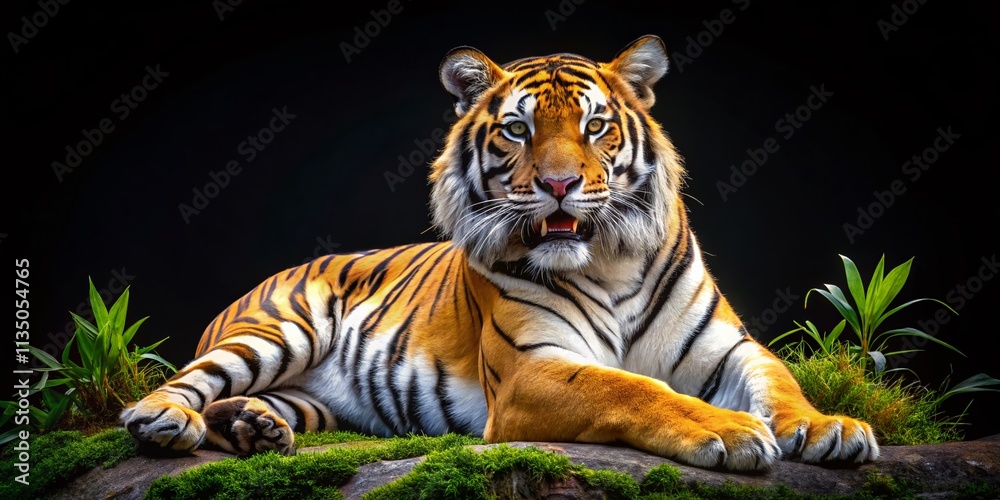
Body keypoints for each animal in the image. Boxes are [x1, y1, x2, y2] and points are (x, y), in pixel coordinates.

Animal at [121, 35, 879, 470]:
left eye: (595, 126)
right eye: (517, 130)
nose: (559, 184)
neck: (610, 260)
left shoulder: (729, 348)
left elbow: (781, 381)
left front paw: (831, 428)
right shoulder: (532, 369)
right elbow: (632, 387)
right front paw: (730, 430)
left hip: (312, 401)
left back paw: (256, 430)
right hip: (278, 330)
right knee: (180, 385)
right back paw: (166, 422)